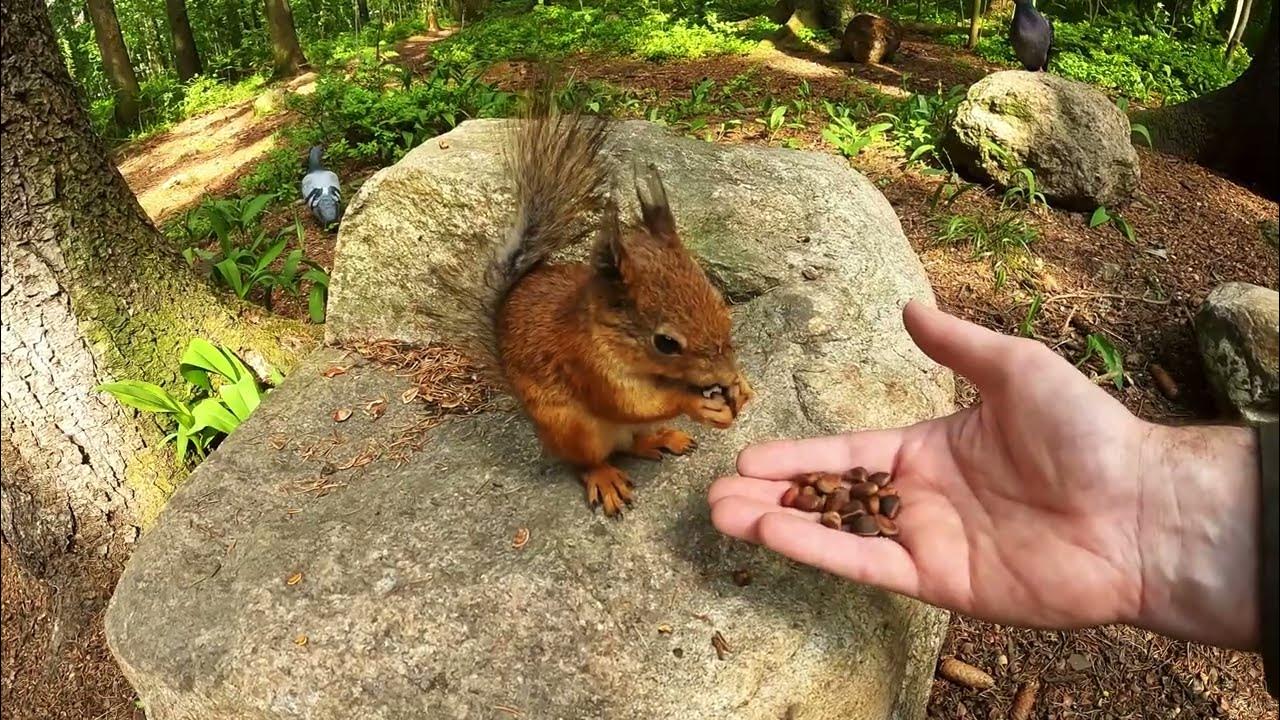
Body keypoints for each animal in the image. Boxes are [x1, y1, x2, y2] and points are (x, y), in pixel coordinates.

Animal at [445, 87, 753, 517]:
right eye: (666, 343)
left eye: (719, 300)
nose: (725, 375)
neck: (608, 334)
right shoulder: (587, 366)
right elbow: (635, 402)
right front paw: (698, 405)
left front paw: (741, 386)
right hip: (573, 428)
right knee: (590, 460)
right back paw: (605, 478)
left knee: (635, 441)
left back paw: (662, 439)